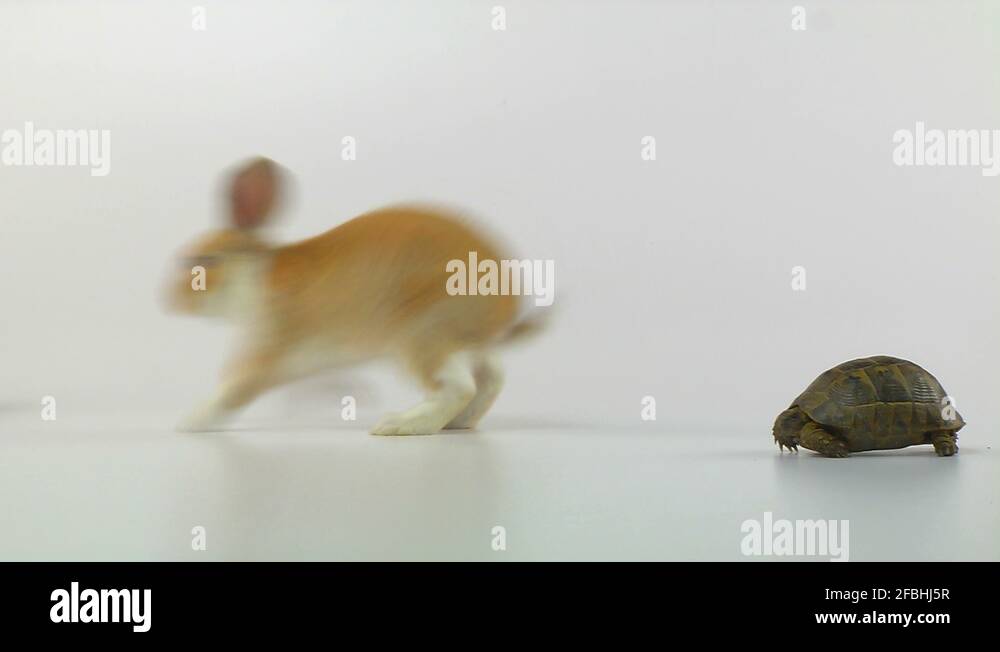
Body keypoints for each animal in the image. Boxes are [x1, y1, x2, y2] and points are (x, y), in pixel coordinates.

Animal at [165, 157, 544, 435]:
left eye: (203, 262)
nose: (165, 298)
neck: (253, 275)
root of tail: (506, 308)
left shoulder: (266, 354)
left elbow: (231, 392)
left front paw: (190, 422)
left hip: (419, 335)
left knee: (458, 386)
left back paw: (397, 425)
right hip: (460, 344)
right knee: (490, 379)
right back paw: (459, 424)